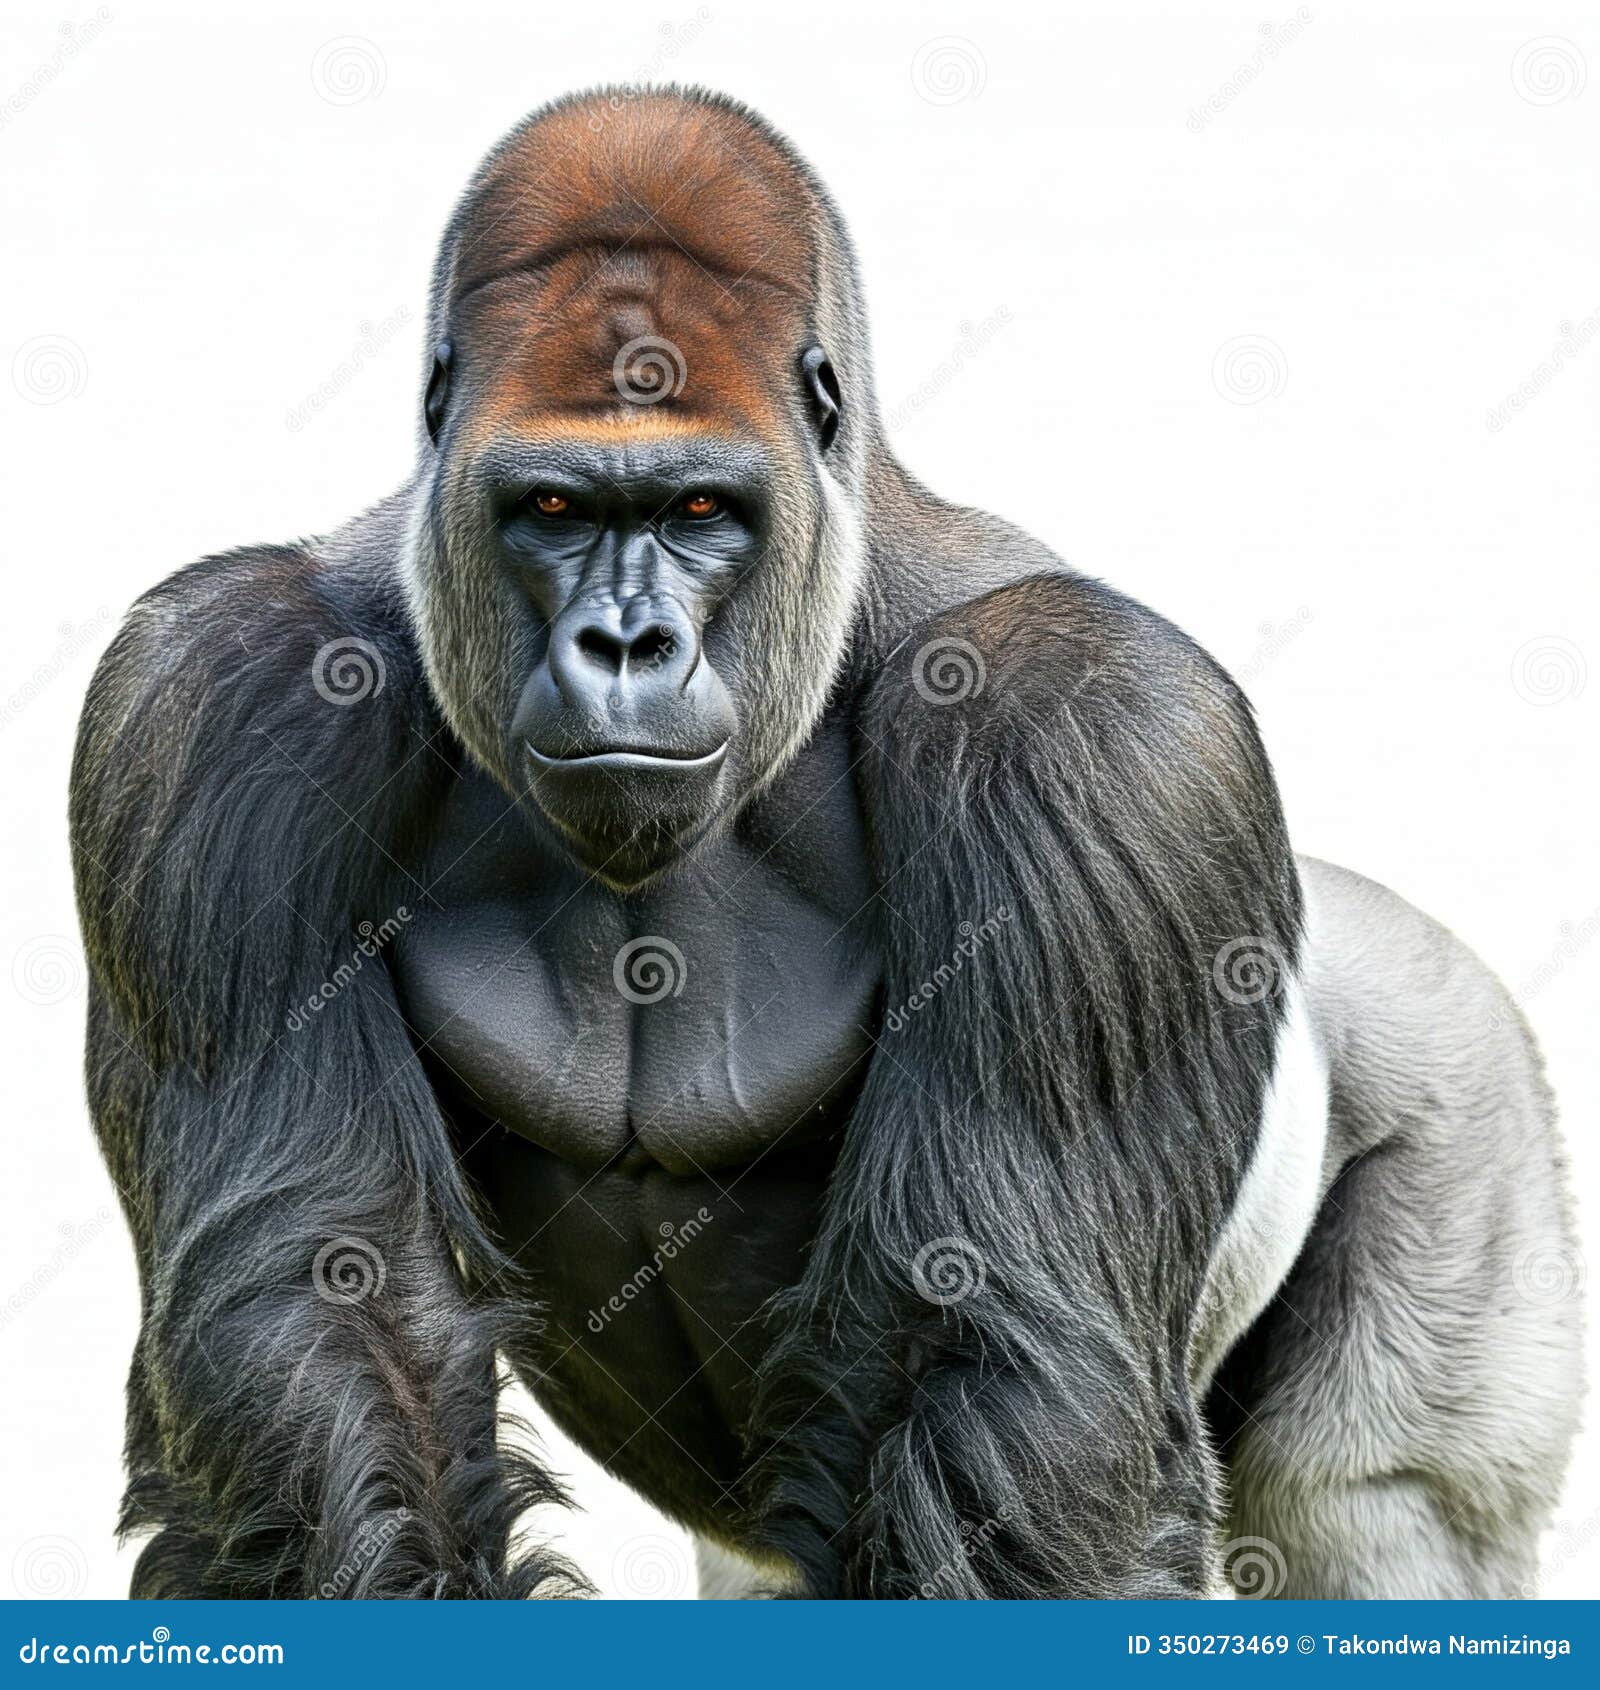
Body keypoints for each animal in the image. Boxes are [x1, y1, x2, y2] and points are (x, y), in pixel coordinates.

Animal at [70, 86, 1581, 1600]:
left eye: (697, 509)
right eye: (553, 508)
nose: (626, 644)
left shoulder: (1096, 724)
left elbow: (1005, 1367)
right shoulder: (218, 698)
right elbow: (324, 1311)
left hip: (1467, 1085)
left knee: (1375, 1508)